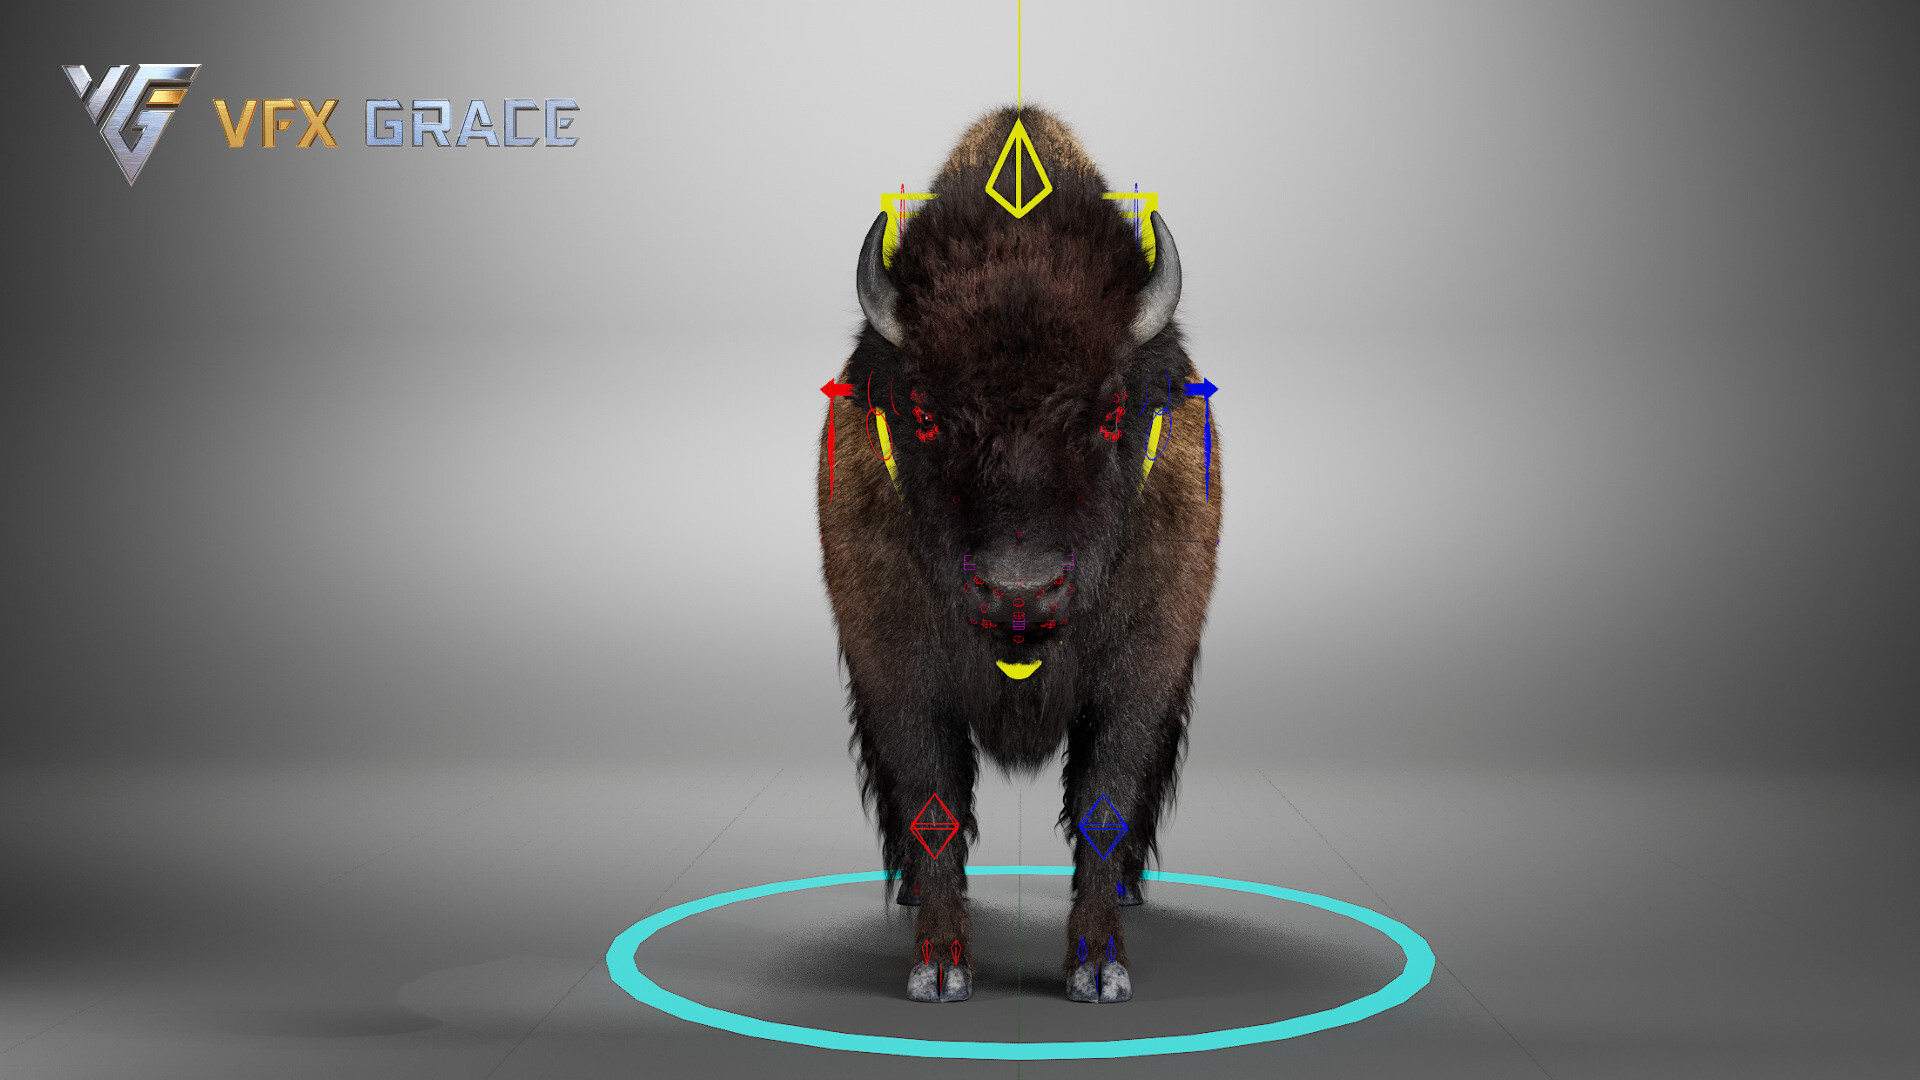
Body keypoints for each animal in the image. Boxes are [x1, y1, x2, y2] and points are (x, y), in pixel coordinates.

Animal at [817, 106, 1222, 1003]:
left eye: (1109, 413)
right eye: (929, 414)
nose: (1019, 591)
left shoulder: (1140, 672)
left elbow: (1106, 798)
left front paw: (1099, 968)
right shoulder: (898, 670)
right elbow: (931, 797)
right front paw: (939, 969)